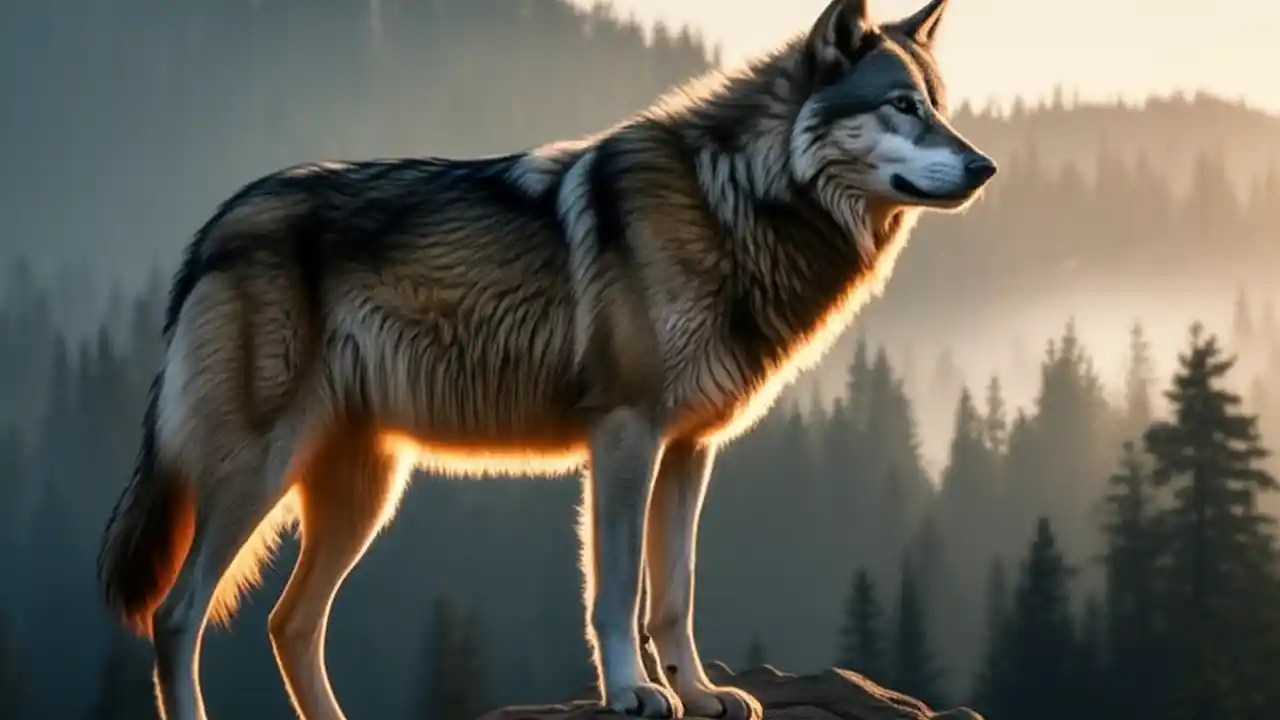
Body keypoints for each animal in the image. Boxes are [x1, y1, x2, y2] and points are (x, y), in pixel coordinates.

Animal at [97, 1, 993, 718]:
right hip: (258, 474)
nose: (985, 166)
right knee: (178, 615)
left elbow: (675, 594)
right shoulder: (626, 437)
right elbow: (619, 591)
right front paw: (635, 693)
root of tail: (215, 225)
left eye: (941, 109)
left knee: (291, 623)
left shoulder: (690, 450)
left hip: (365, 493)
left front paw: (700, 693)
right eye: (902, 106)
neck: (734, 200)